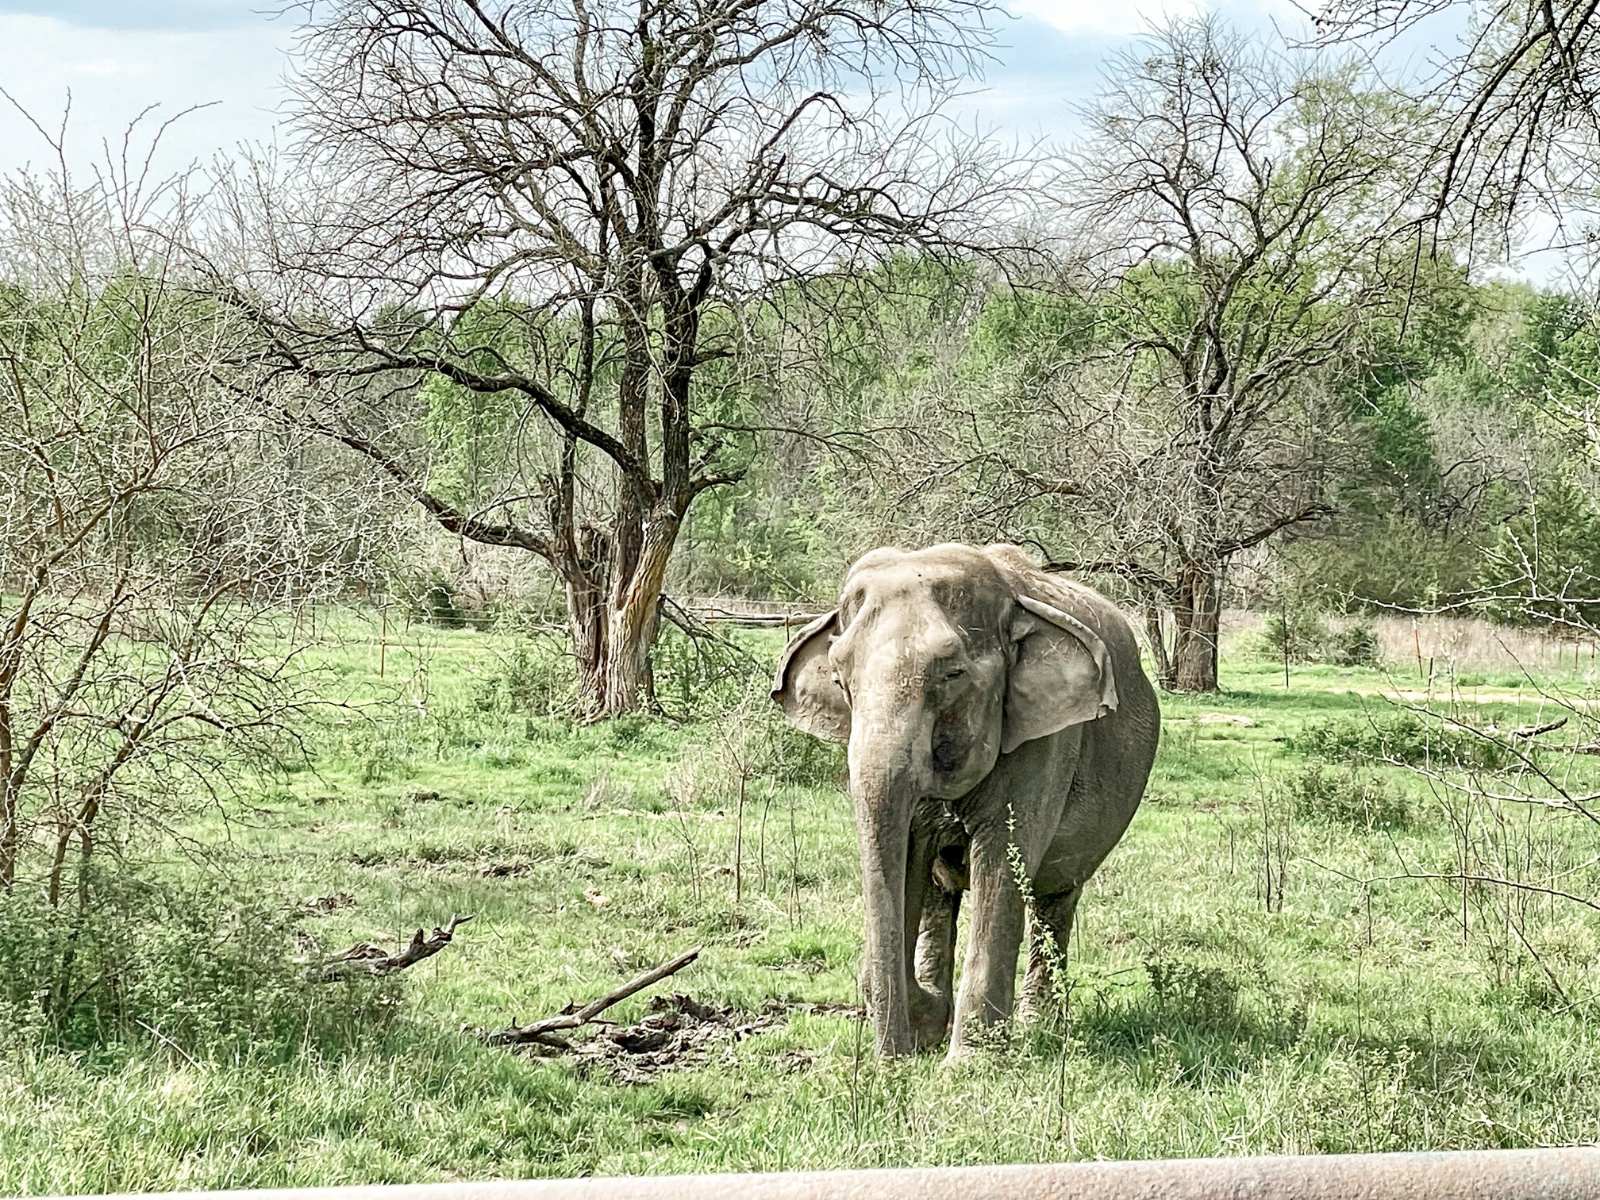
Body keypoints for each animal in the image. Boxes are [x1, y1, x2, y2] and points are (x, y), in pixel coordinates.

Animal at [771, 543, 1160, 1060]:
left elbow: (1001, 864)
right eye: (838, 676)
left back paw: (1038, 1027)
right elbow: (909, 856)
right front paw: (921, 1025)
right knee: (941, 895)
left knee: (1055, 894)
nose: (889, 1063)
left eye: (953, 674)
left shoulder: (1045, 739)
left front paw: (967, 1063)